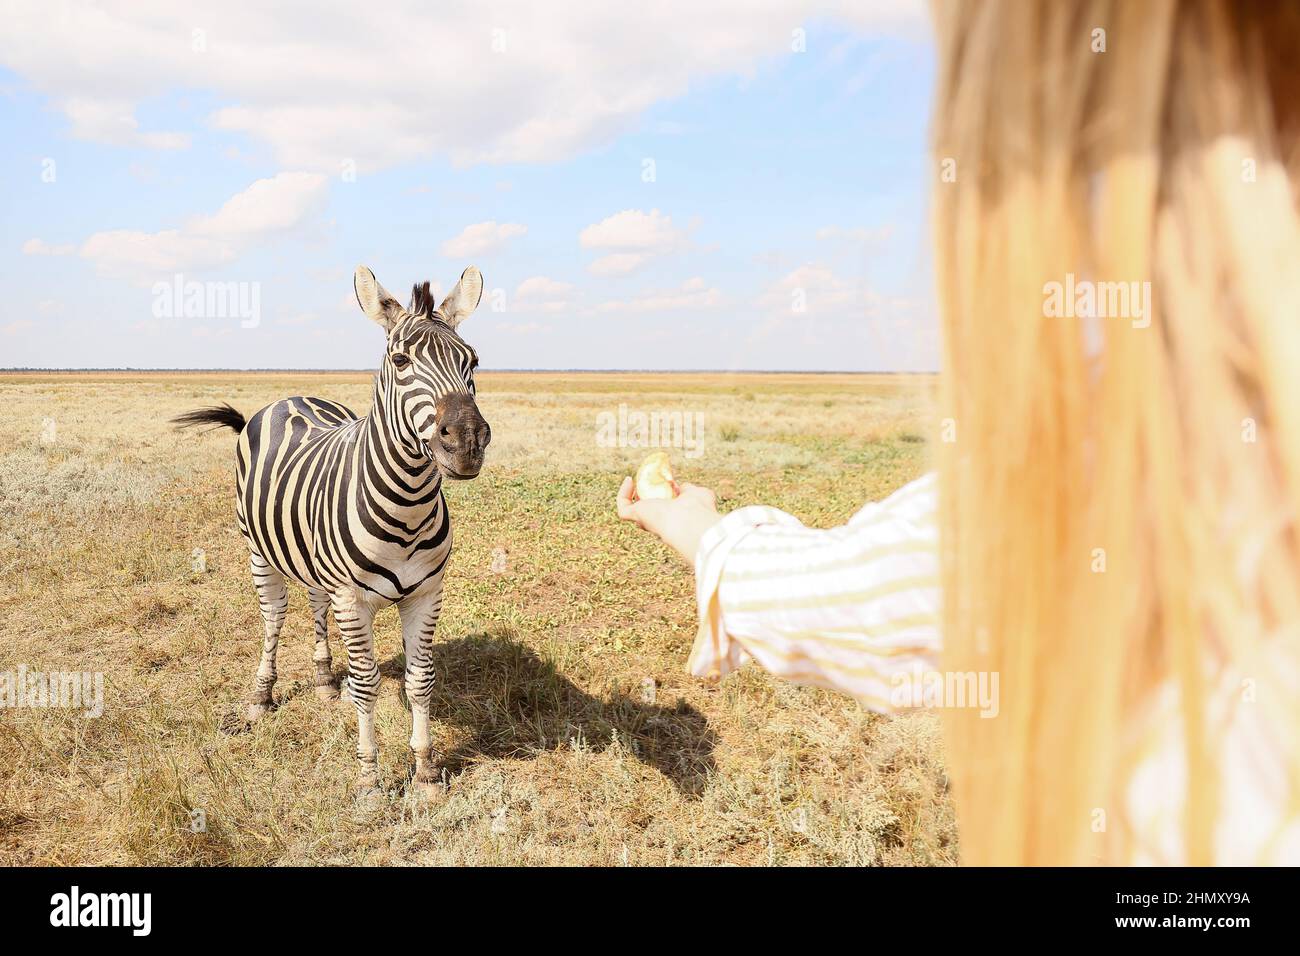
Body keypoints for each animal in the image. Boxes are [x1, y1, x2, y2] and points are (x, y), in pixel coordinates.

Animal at [173, 265, 491, 794]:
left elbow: (420, 680)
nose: (466, 441)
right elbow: (367, 683)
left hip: (315, 565)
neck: (408, 507)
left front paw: (426, 771)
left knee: (315, 606)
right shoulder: (352, 597)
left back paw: (324, 678)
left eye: (473, 361)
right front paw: (369, 779)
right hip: (259, 554)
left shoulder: (427, 593)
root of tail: (289, 396)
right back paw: (261, 696)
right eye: (401, 360)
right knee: (274, 619)